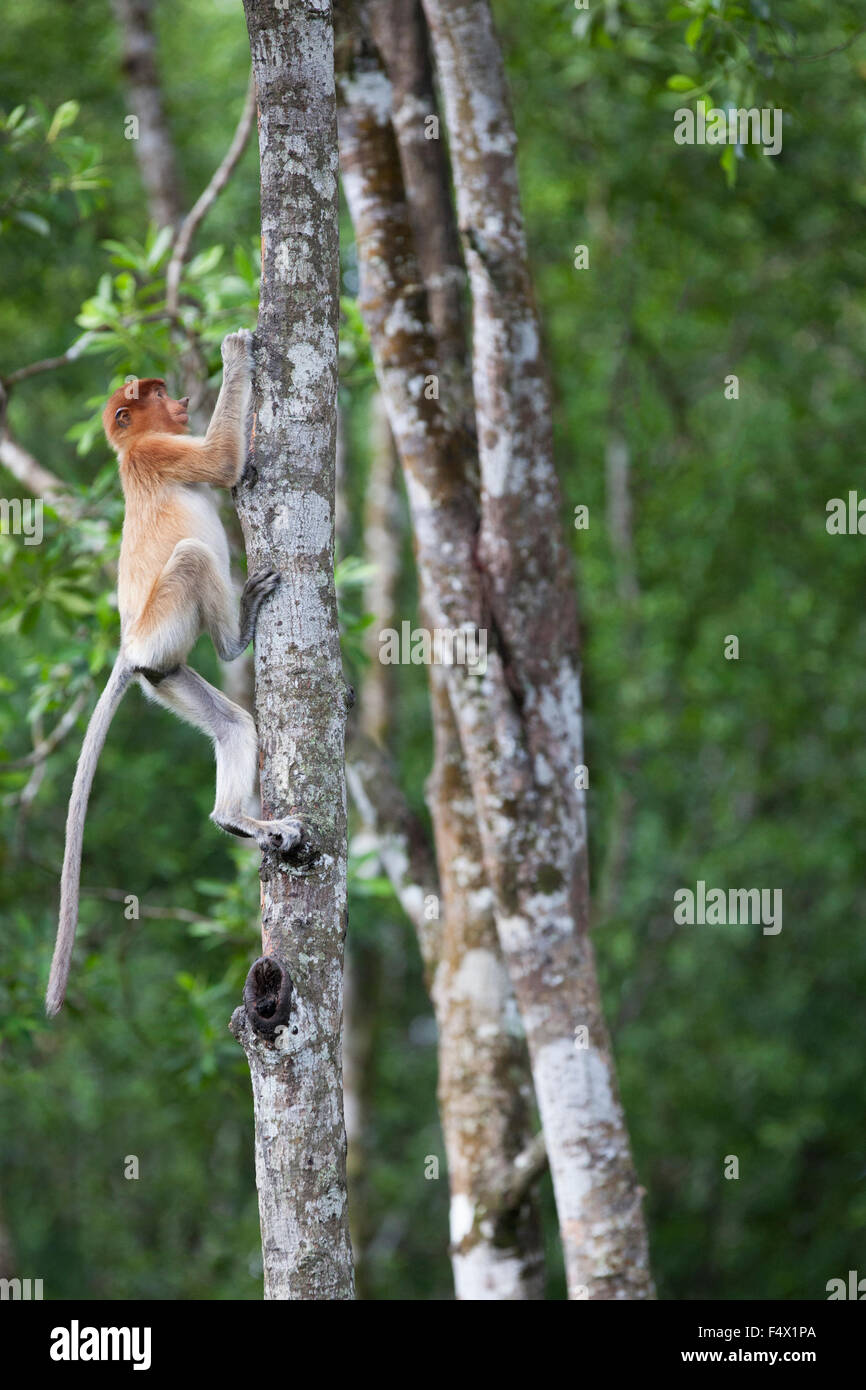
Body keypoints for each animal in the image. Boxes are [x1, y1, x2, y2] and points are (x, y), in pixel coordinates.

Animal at [45, 330, 303, 1018]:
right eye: (158, 395)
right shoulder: (160, 451)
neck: (129, 452)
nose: (182, 399)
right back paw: (238, 636)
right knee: (191, 556)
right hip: (166, 623)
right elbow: (219, 462)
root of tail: (128, 646)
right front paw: (238, 347)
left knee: (234, 725)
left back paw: (237, 819)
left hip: (164, 674)